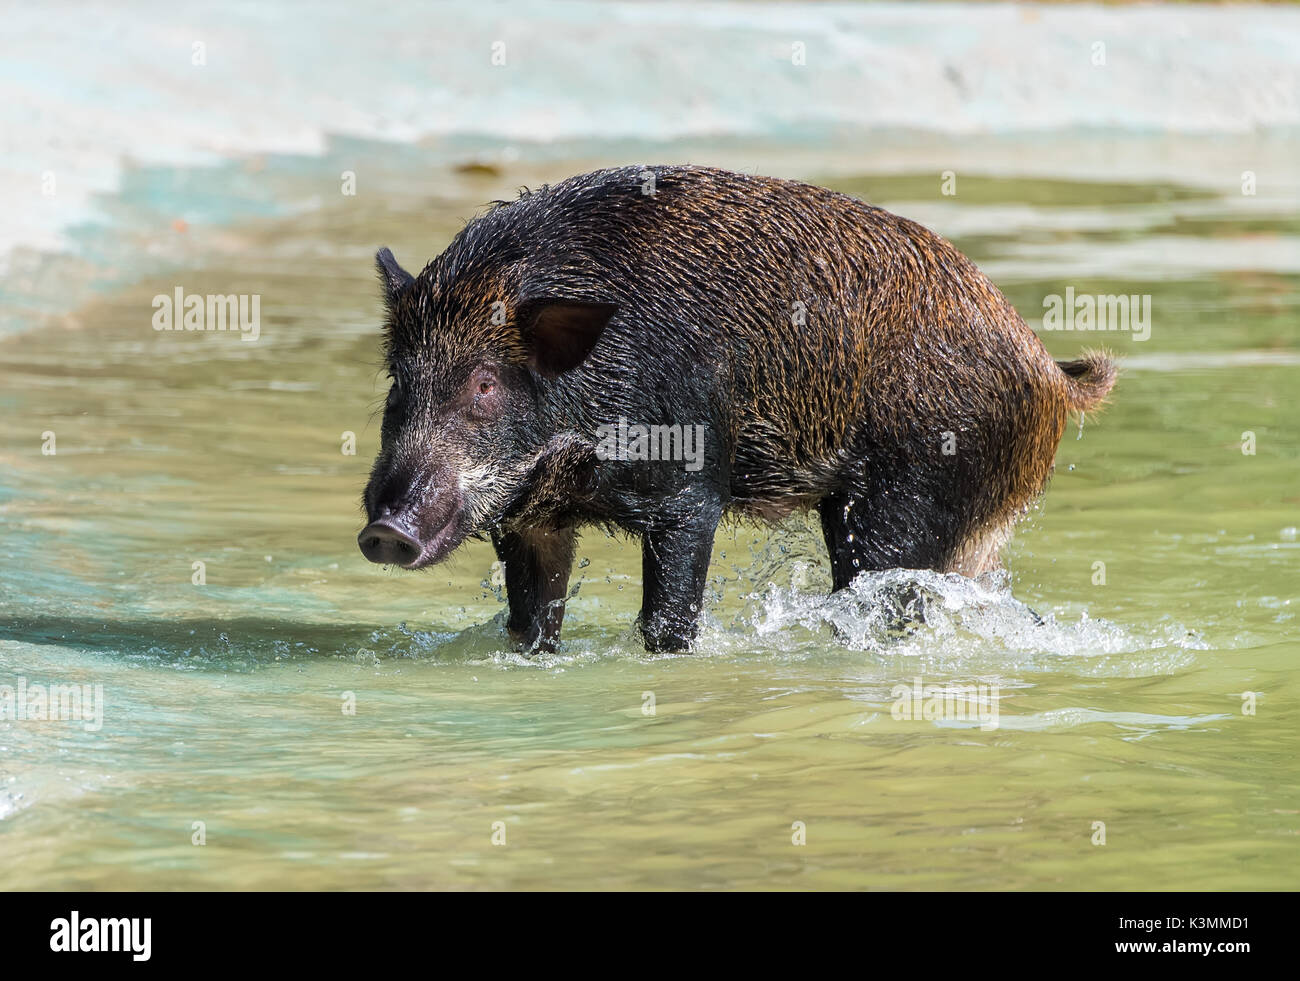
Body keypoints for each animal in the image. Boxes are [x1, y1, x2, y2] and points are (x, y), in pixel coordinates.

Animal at [358, 165, 1116, 653]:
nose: (385, 531)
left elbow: (667, 621)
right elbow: (532, 624)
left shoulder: (692, 486)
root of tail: (1052, 373)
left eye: (485, 385)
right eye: (398, 385)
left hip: (910, 496)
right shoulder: (533, 517)